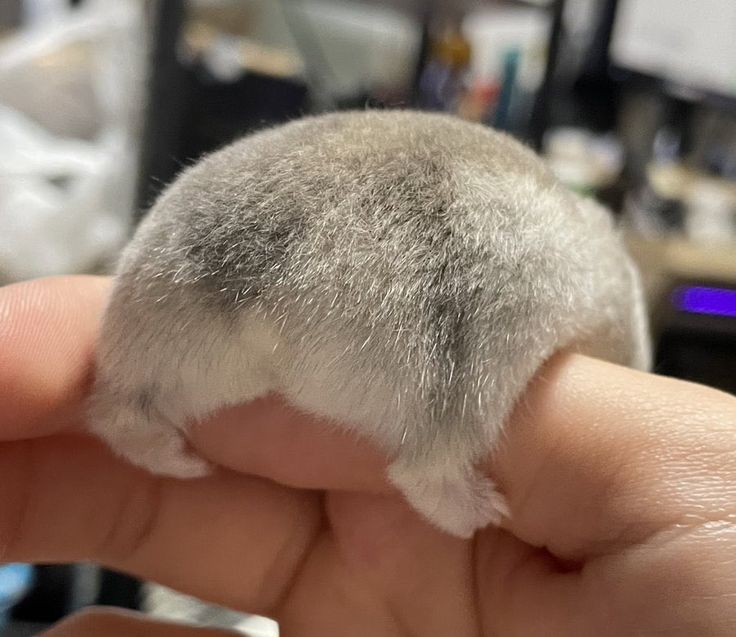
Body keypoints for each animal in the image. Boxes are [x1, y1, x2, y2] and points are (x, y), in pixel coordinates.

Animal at [88, 110, 650, 538]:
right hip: (469, 376)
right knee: (424, 473)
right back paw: (488, 513)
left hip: (162, 341)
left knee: (116, 415)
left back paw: (188, 464)